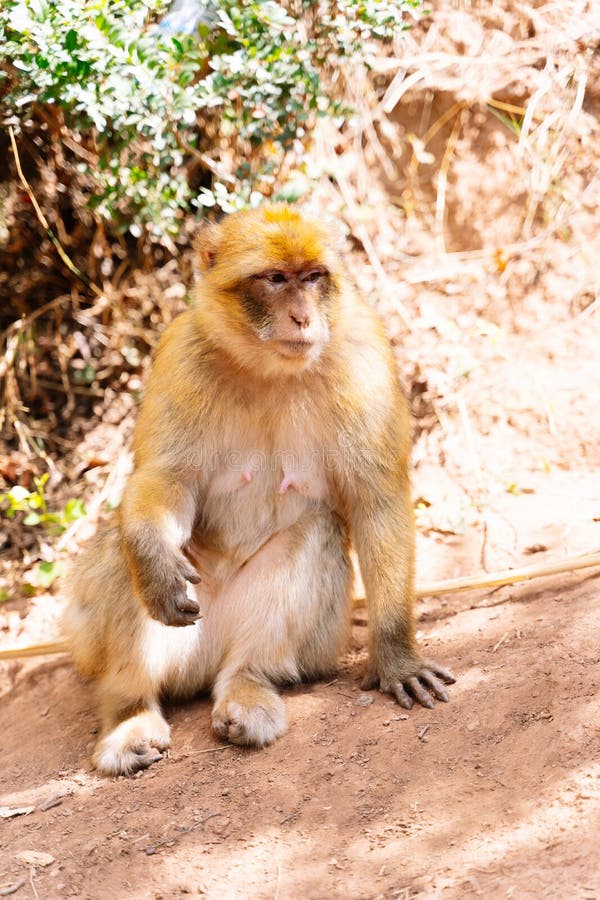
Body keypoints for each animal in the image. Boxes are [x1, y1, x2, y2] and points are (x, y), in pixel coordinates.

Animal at [62, 203, 455, 776]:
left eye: (312, 277)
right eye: (274, 279)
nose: (303, 318)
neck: (267, 366)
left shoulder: (364, 357)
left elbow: (375, 499)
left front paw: (395, 655)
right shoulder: (181, 356)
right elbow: (165, 479)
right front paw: (154, 560)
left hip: (312, 644)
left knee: (318, 531)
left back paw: (248, 686)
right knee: (122, 545)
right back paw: (130, 712)